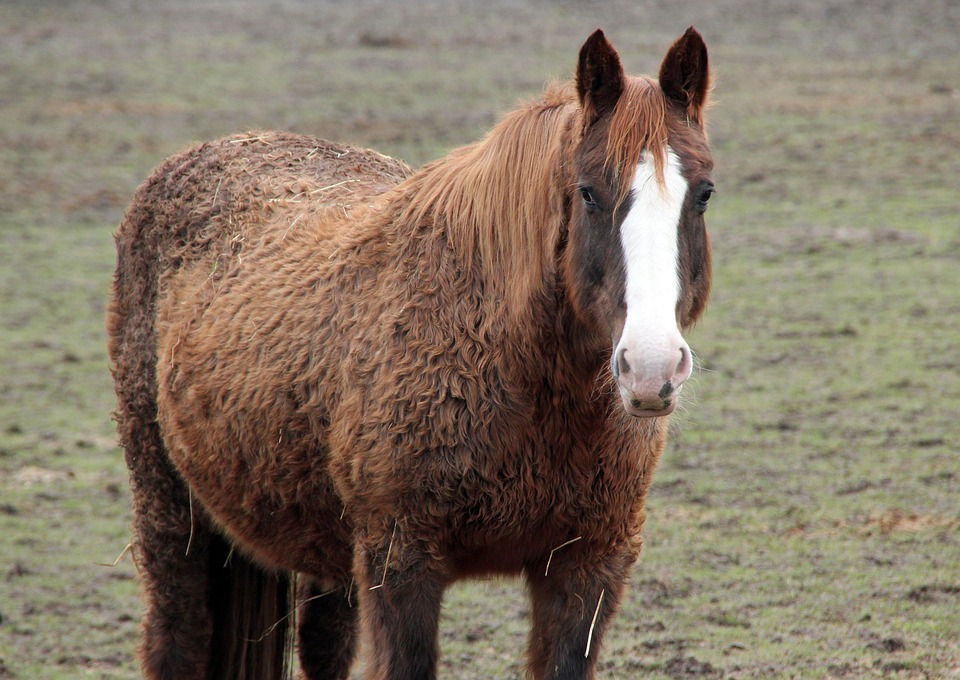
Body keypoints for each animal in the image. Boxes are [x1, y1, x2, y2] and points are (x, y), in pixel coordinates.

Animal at [107, 27, 713, 680]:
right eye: (588, 193)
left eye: (704, 194)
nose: (650, 366)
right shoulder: (402, 566)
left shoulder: (588, 569)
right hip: (172, 515)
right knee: (176, 637)